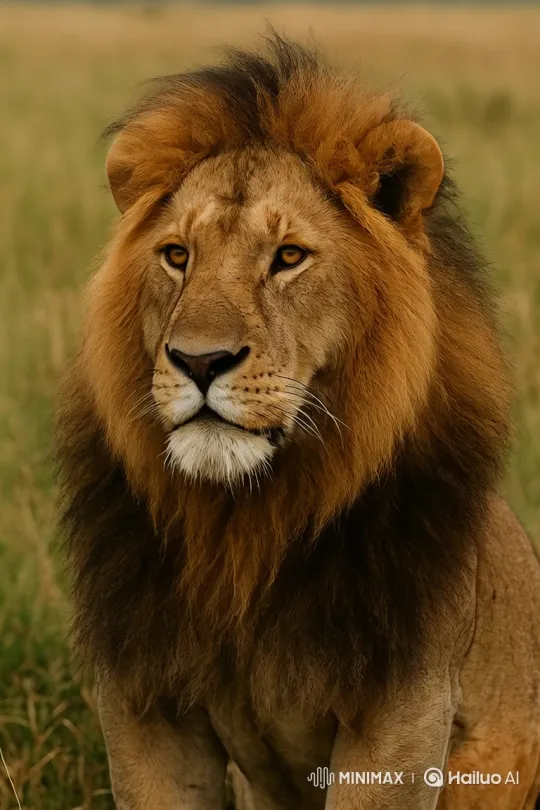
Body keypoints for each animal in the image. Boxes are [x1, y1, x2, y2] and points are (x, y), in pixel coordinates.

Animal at [56, 36, 540, 810]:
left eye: (288, 258)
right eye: (177, 255)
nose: (200, 360)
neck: (244, 526)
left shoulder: (403, 710)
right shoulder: (144, 703)